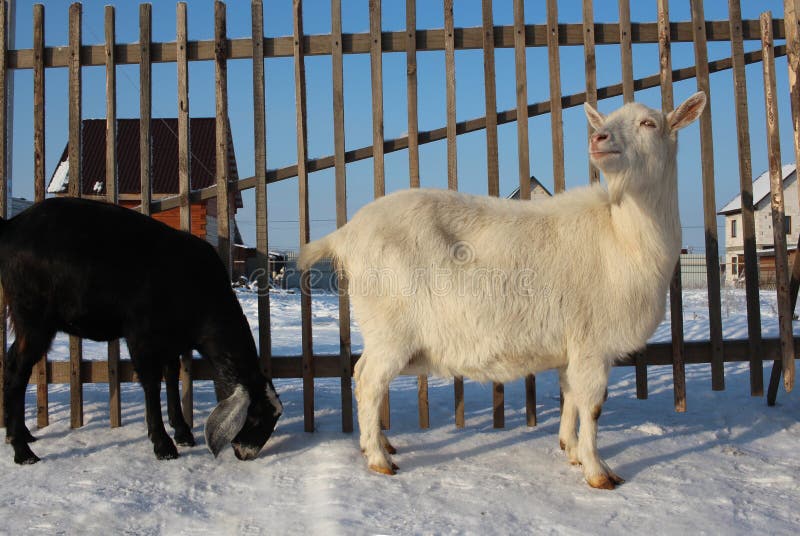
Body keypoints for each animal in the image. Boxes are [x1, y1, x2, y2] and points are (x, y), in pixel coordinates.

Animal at [0, 197, 282, 464]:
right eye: (255, 417)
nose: (247, 454)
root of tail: (11, 227)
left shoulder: (172, 340)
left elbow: (172, 377)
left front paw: (182, 432)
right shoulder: (141, 336)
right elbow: (151, 382)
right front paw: (163, 445)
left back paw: (23, 434)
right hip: (33, 316)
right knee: (16, 368)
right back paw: (22, 450)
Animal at [298, 92, 706, 489]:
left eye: (648, 123)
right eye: (604, 120)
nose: (598, 139)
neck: (621, 239)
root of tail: (346, 233)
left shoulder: (571, 346)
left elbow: (571, 395)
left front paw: (570, 449)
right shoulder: (592, 343)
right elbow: (591, 405)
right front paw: (598, 472)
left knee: (361, 374)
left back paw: (384, 444)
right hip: (391, 328)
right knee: (369, 382)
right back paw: (379, 460)